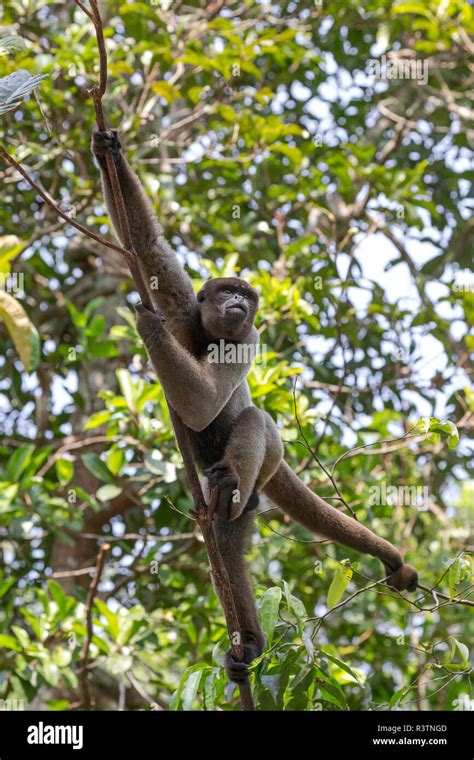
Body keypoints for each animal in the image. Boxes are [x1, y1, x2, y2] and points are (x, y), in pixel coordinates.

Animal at [91, 129, 418, 684]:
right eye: (228, 289)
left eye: (247, 295)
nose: (240, 303)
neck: (207, 332)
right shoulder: (184, 304)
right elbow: (147, 246)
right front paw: (107, 151)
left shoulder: (250, 337)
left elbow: (204, 404)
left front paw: (148, 326)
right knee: (226, 547)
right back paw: (249, 644)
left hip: (261, 473)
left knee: (254, 429)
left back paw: (229, 501)